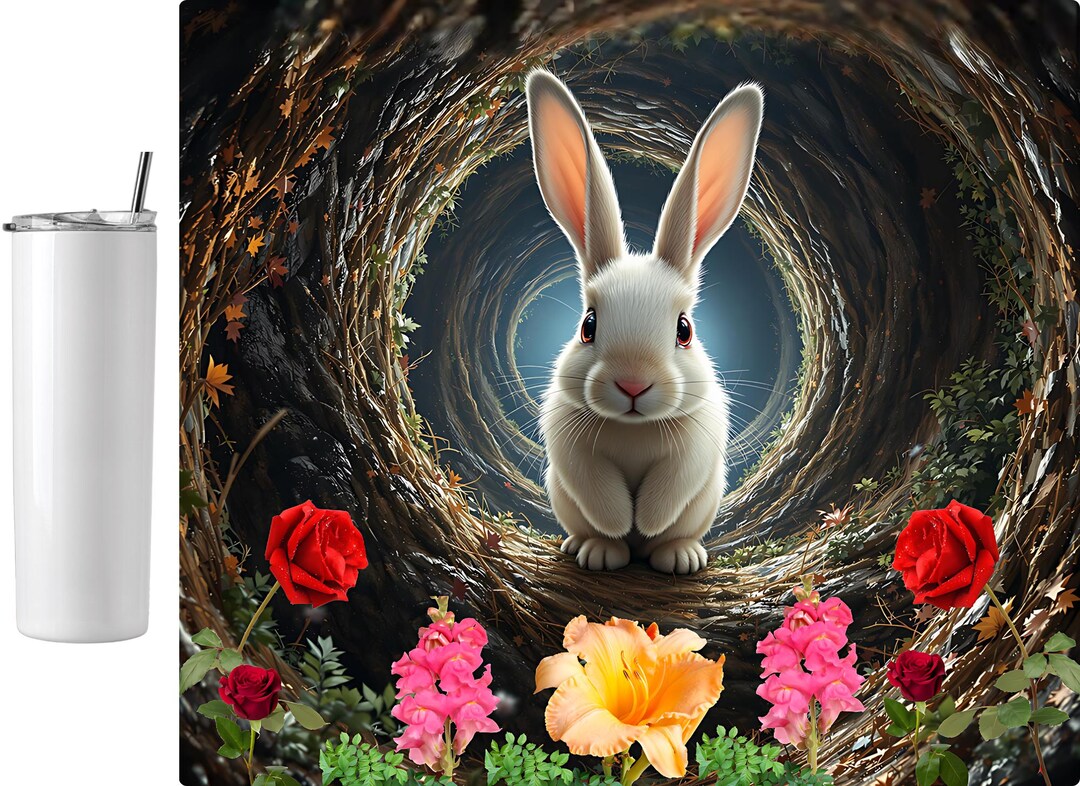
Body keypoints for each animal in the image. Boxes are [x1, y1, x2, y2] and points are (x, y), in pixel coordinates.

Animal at [525, 70, 763, 574]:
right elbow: (595, 485)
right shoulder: (567, 437)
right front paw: (619, 522)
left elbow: (673, 483)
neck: (633, 427)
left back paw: (677, 556)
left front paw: (648, 520)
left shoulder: (699, 437)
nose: (633, 385)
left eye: (684, 330)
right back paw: (598, 551)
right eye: (588, 325)